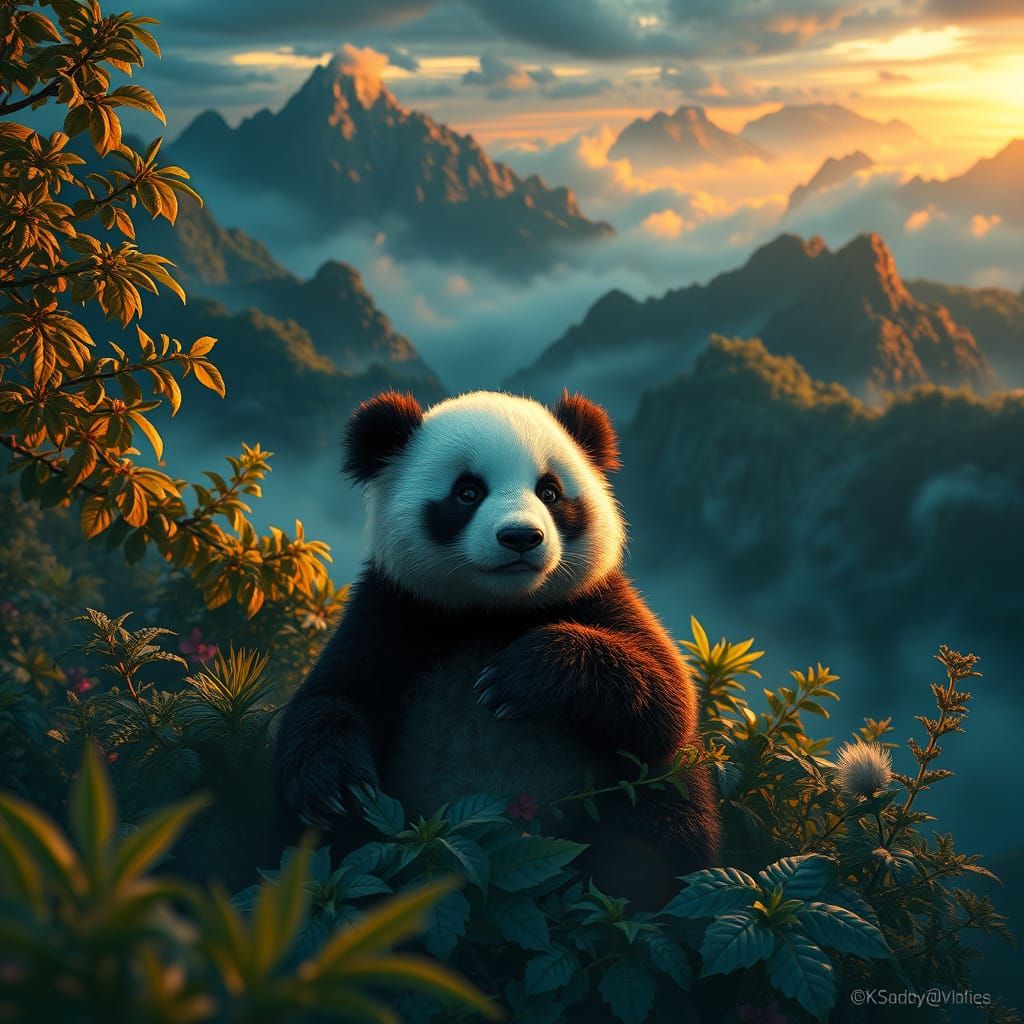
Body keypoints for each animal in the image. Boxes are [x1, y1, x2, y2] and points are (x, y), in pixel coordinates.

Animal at [273, 389, 720, 906]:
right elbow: (333, 695)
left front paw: (517, 679)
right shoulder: (394, 608)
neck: (496, 611)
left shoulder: (598, 597)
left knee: (662, 819)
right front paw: (338, 792)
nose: (521, 537)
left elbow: (666, 697)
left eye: (550, 491)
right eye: (467, 492)